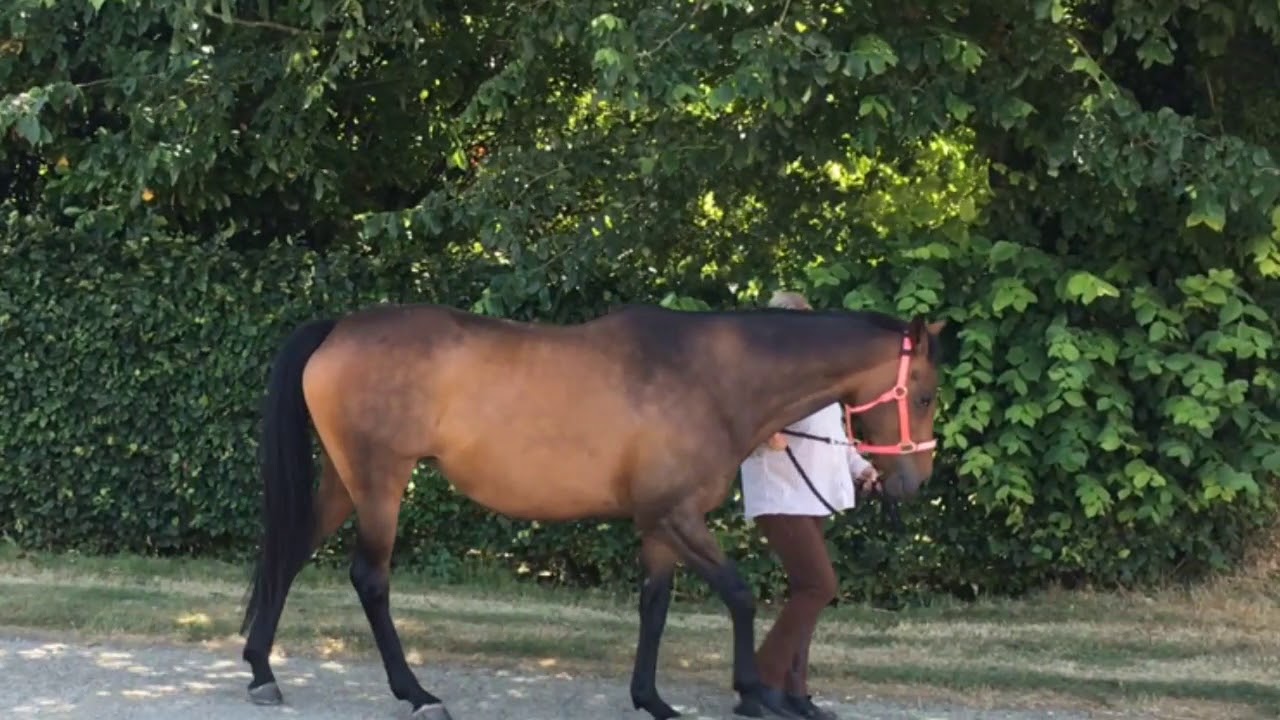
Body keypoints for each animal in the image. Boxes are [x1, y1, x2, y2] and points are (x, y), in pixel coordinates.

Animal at [236, 300, 947, 720]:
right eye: (927, 394)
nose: (913, 480)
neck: (711, 377)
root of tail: (340, 328)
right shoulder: (678, 516)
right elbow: (741, 595)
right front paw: (754, 692)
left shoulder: (659, 525)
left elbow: (654, 607)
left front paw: (651, 700)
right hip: (381, 482)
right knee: (371, 579)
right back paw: (415, 693)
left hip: (344, 481)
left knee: (289, 555)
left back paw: (262, 671)